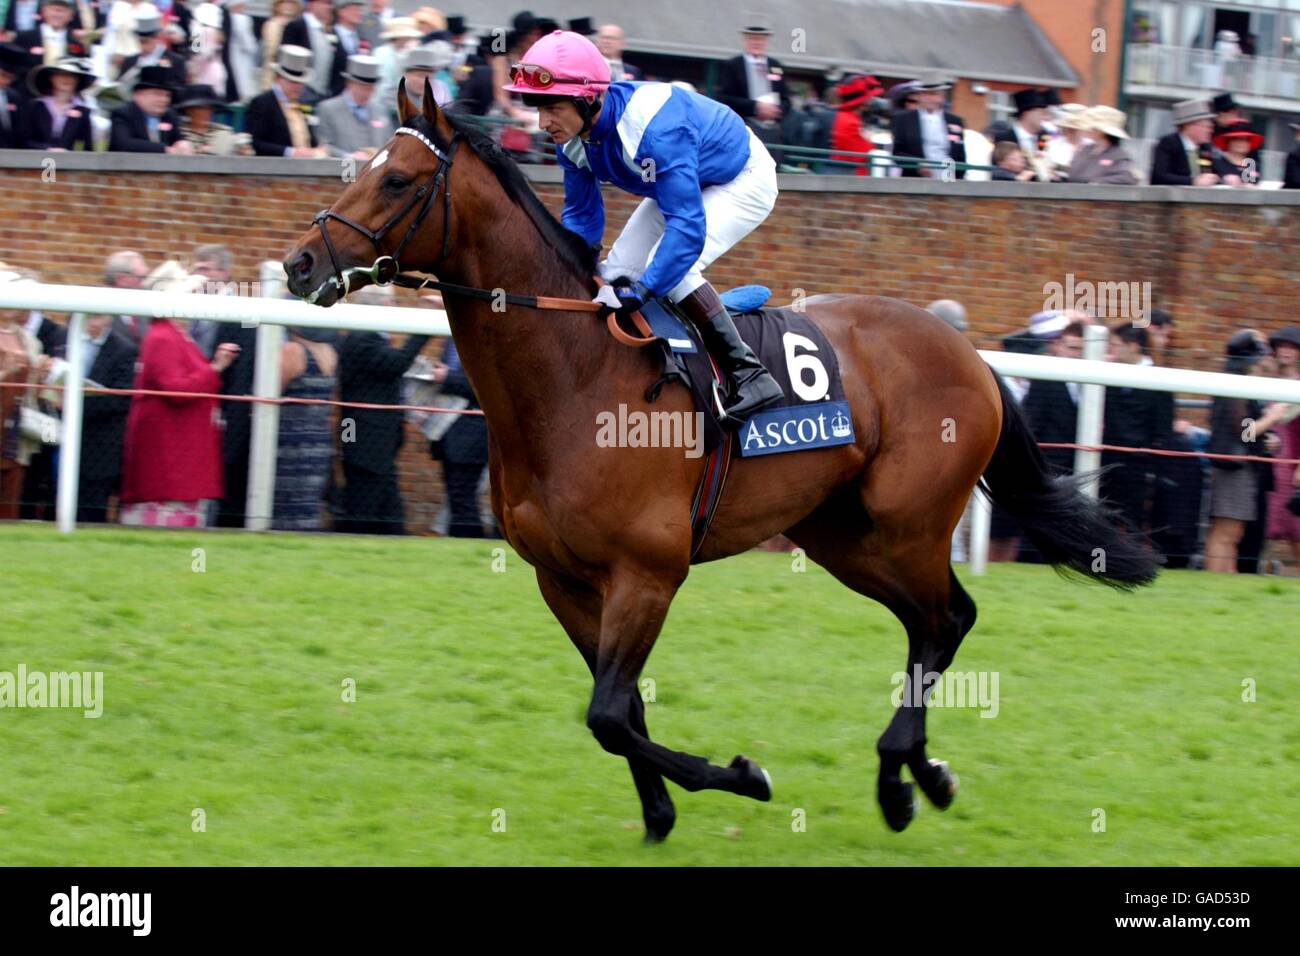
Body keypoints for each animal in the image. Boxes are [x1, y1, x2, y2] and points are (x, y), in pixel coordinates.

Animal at [283, 81, 1156, 841]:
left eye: (397, 179)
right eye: (364, 167)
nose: (300, 264)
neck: (572, 375)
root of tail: (968, 352)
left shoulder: (647, 572)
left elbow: (608, 713)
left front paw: (742, 775)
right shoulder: (562, 580)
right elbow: (619, 710)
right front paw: (660, 814)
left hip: (906, 523)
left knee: (946, 620)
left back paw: (902, 774)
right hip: (841, 536)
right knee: (934, 622)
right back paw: (917, 778)